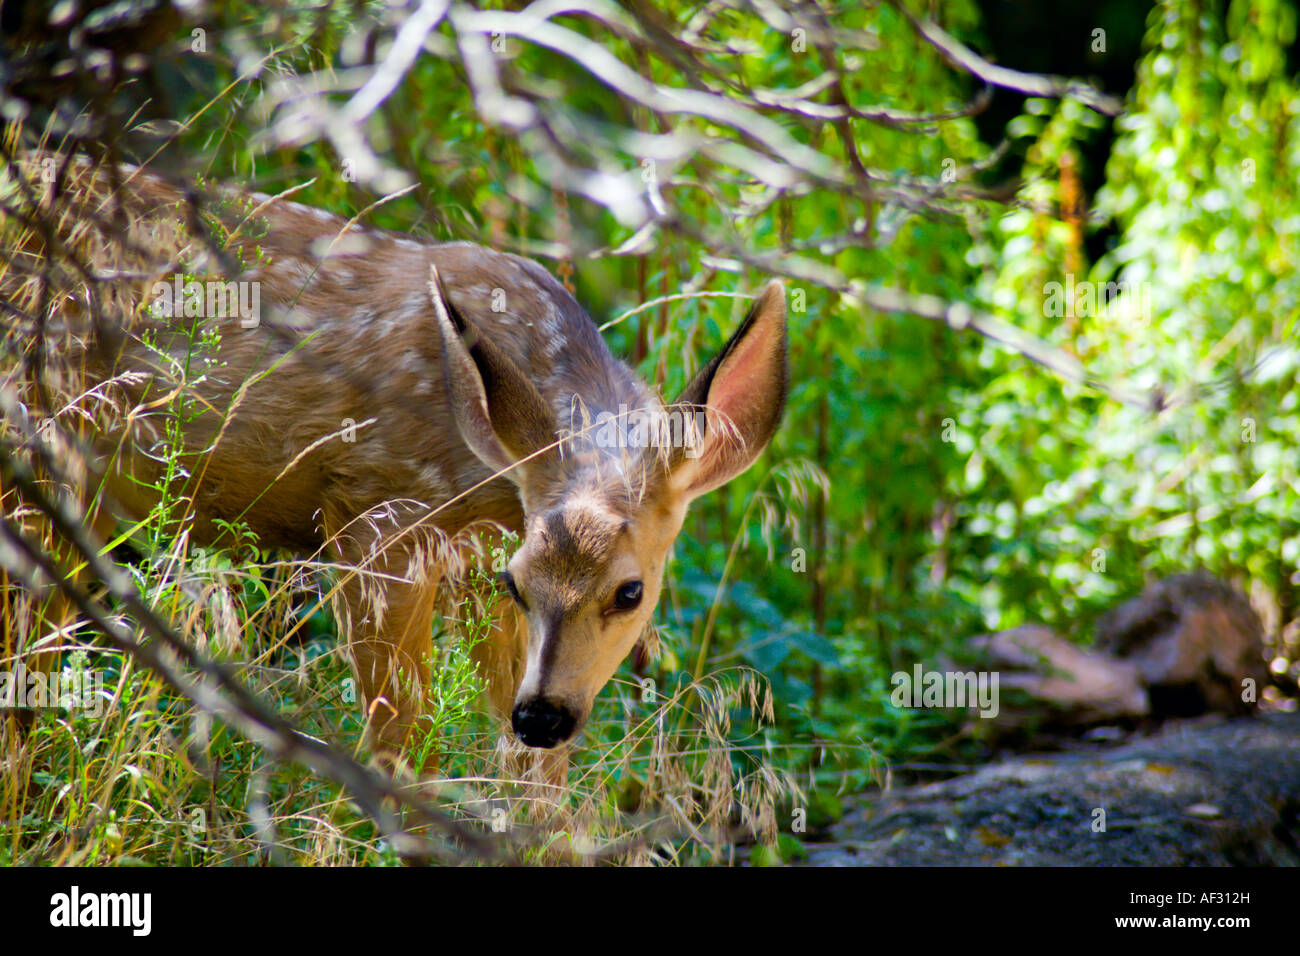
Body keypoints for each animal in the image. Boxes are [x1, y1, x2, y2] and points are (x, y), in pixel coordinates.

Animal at [1, 155, 788, 777]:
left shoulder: (479, 566)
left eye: (631, 591)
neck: (484, 476)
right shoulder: (375, 514)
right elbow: (405, 739)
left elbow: (530, 777)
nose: (544, 716)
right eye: (522, 581)